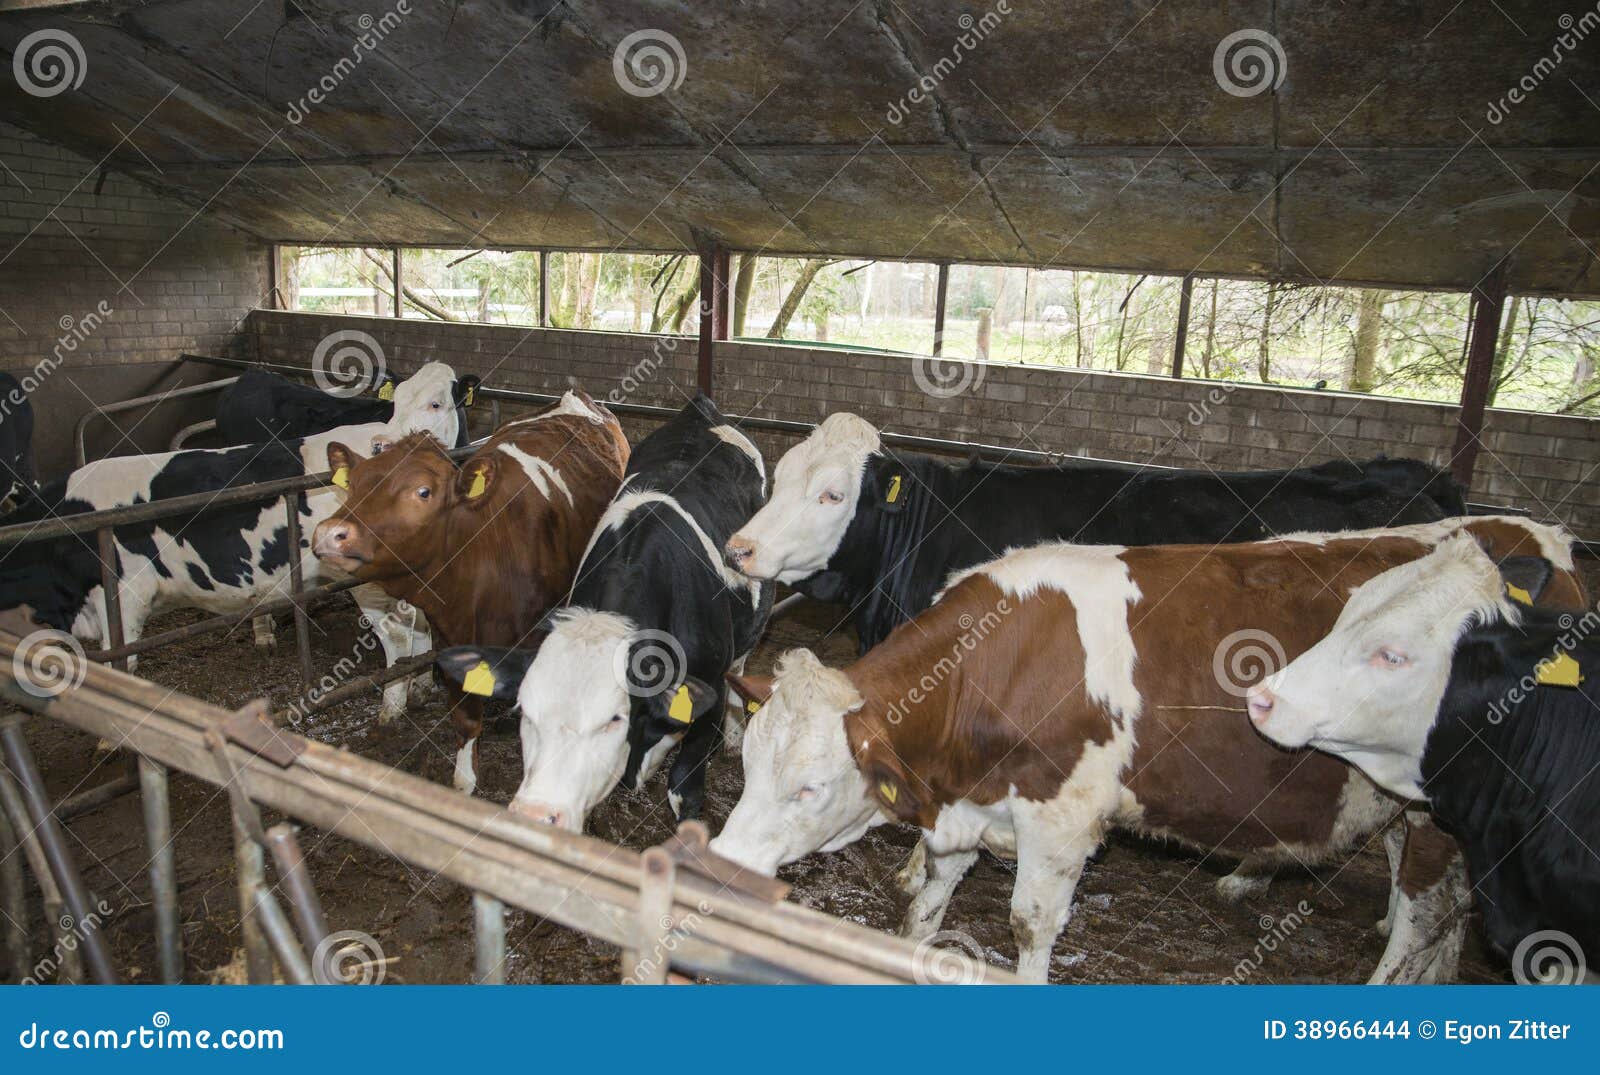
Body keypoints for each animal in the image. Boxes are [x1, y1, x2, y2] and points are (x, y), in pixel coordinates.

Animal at [311, 391, 629, 795]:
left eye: (423, 491)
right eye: (353, 485)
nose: (330, 533)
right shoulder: (450, 638)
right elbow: (464, 718)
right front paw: (464, 778)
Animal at [432, 394, 772, 828]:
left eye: (613, 718)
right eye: (525, 710)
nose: (535, 813)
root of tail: (700, 407)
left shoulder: (705, 698)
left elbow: (685, 792)